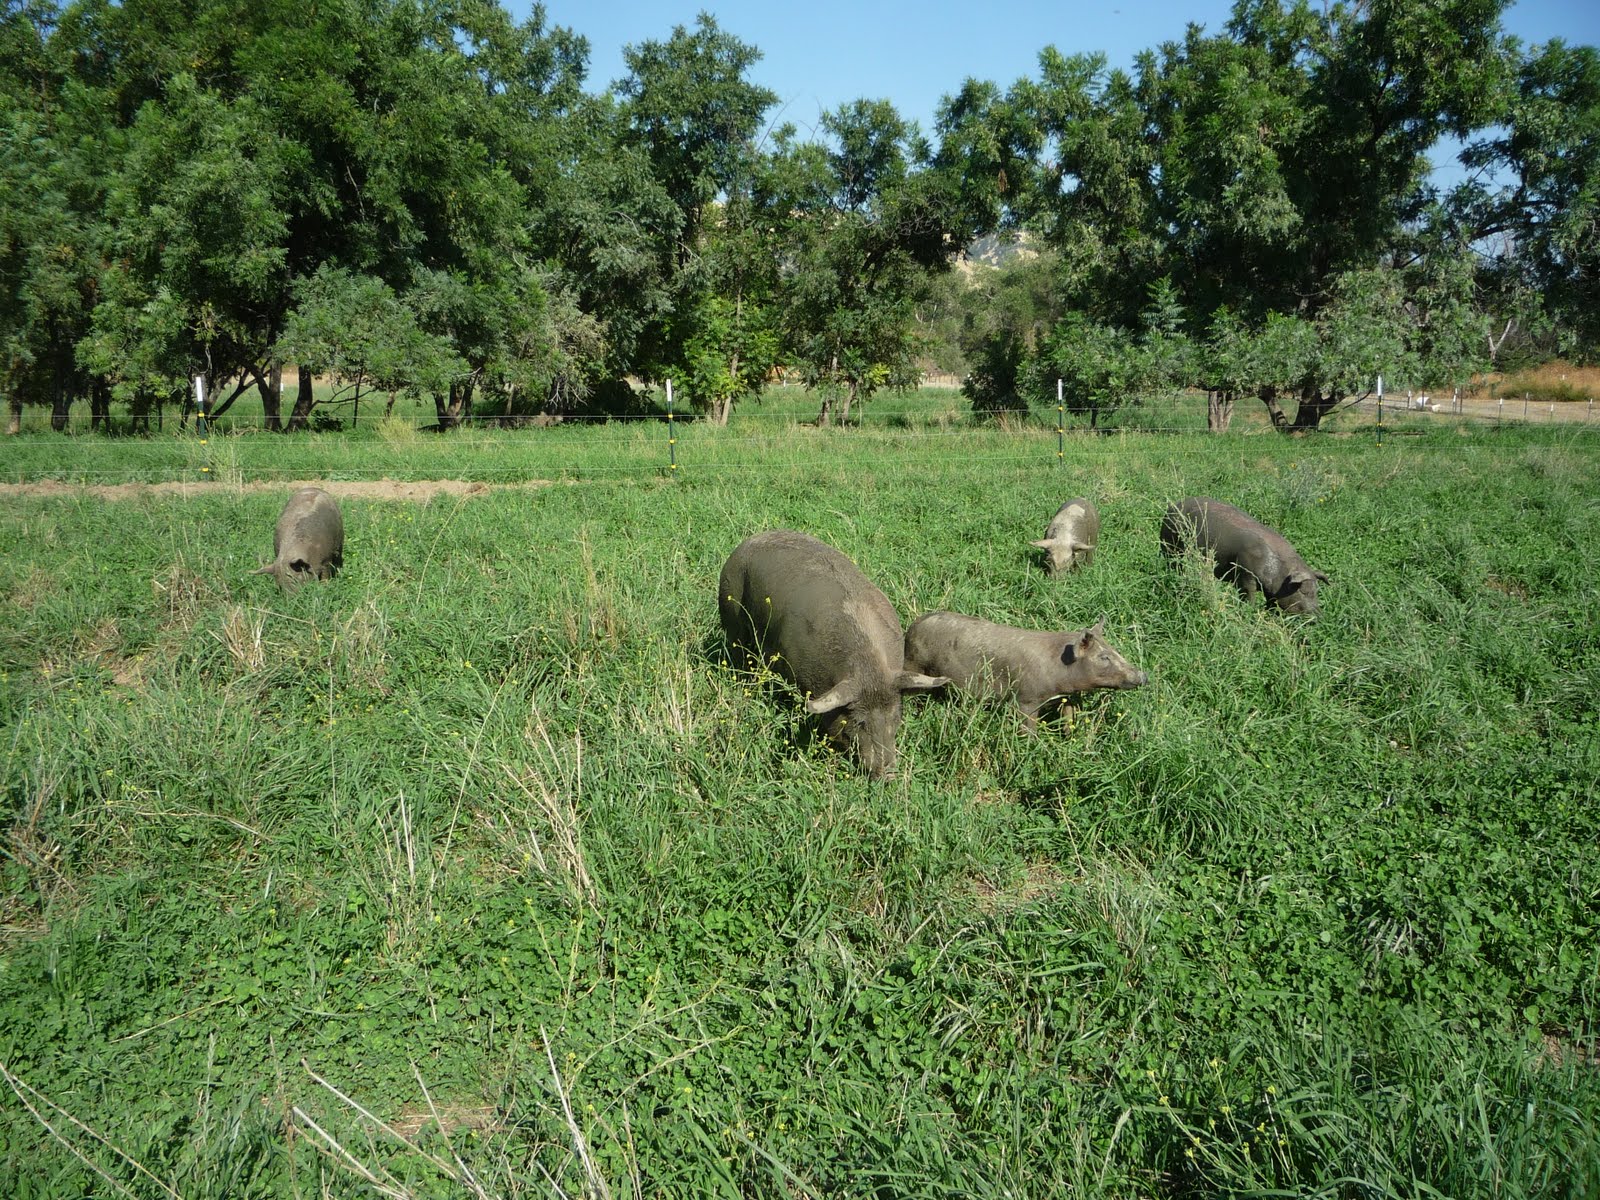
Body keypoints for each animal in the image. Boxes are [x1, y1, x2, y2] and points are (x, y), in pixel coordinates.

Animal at [718, 529, 948, 778]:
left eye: (896, 717)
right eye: (859, 722)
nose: (888, 774)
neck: (867, 665)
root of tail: (750, 540)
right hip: (730, 610)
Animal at [903, 611, 1147, 727]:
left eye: (1115, 650)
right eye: (1104, 657)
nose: (1143, 675)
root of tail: (915, 624)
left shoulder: (1065, 697)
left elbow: (1069, 716)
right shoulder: (1026, 699)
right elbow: (1028, 726)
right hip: (914, 662)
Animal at [1159, 497, 1328, 618]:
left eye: (1317, 591)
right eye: (1305, 591)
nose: (1319, 616)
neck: (1280, 572)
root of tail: (1173, 506)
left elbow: (1271, 602)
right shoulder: (1246, 572)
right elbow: (1249, 593)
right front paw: (1250, 611)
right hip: (1170, 544)